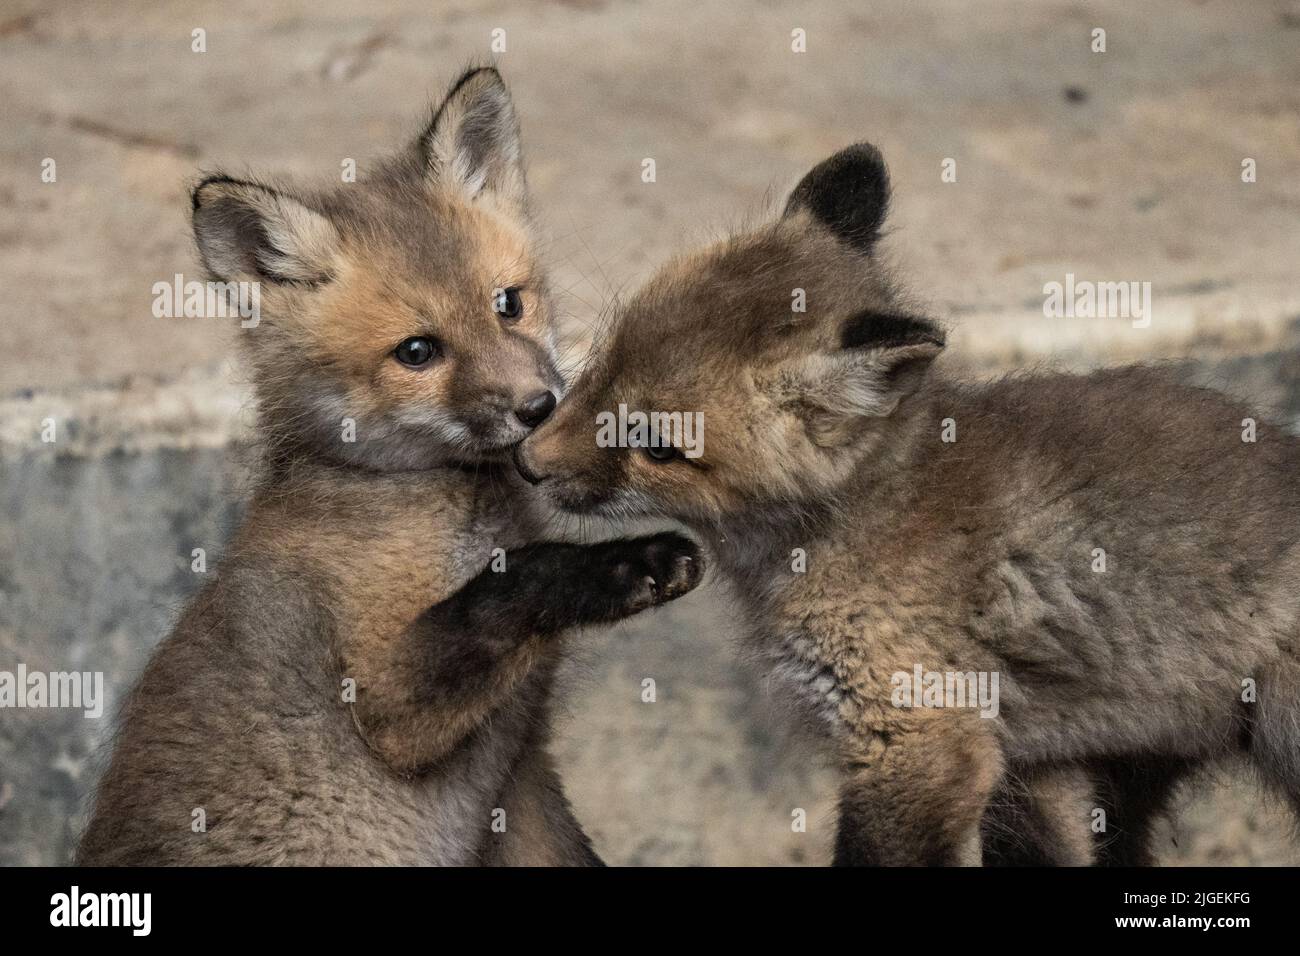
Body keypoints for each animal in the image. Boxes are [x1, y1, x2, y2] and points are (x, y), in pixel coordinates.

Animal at [76, 68, 703, 866]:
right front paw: (630, 562)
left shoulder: (521, 775)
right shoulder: (388, 706)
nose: (540, 406)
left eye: (509, 305)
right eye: (416, 352)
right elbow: (509, 583)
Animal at [516, 142, 1300, 866]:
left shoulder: (919, 740)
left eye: (655, 443)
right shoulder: (1026, 768)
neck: (844, 527)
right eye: (605, 359)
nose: (527, 463)